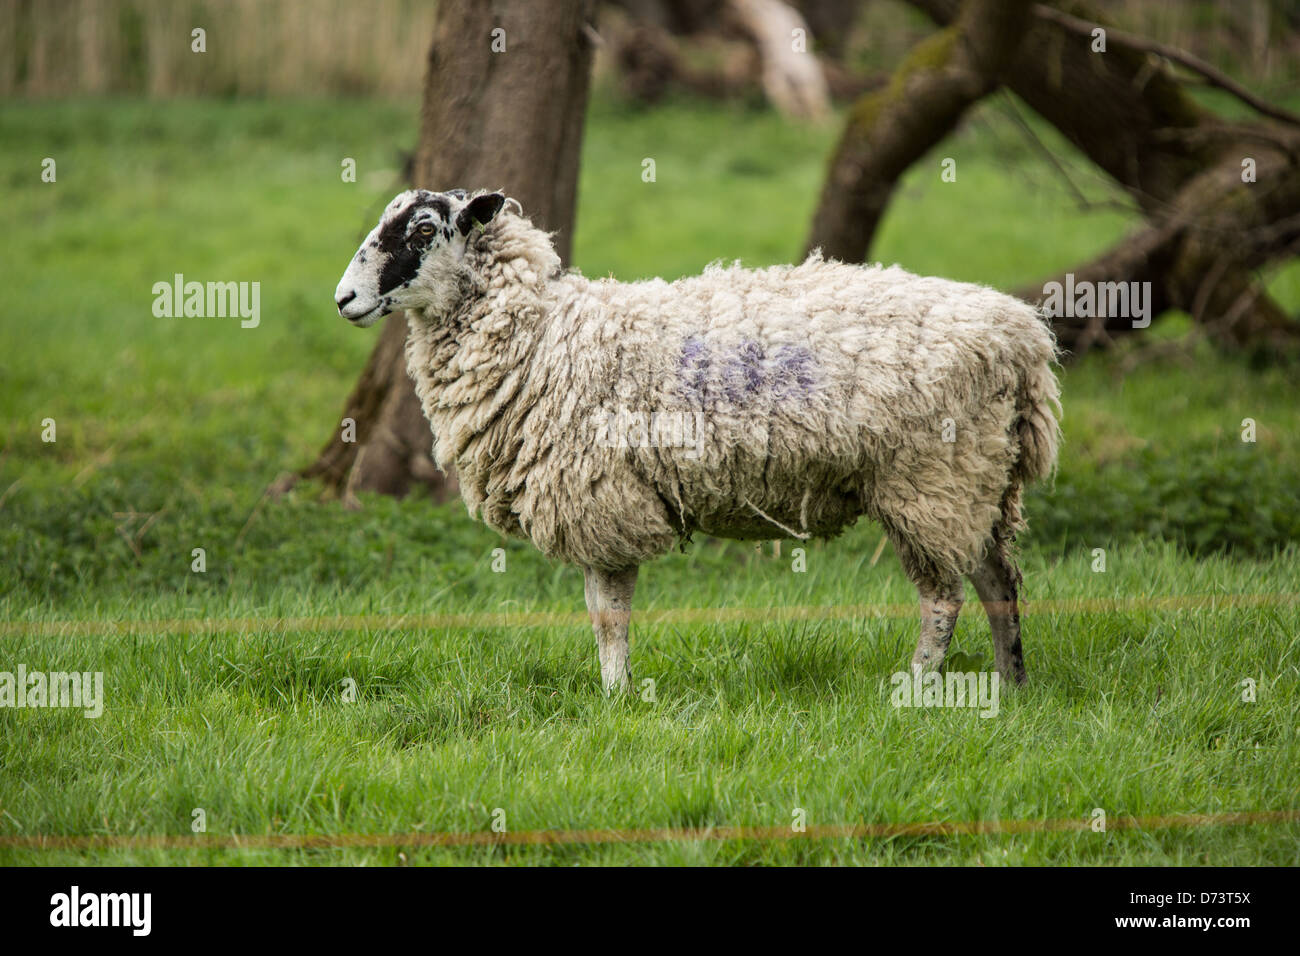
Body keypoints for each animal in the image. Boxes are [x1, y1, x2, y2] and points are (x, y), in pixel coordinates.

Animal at [334, 188, 1061, 694]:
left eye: (423, 229)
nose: (343, 299)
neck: (542, 337)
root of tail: (1023, 338)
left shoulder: (600, 498)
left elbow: (608, 614)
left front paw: (617, 698)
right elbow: (601, 613)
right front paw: (615, 694)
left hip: (930, 477)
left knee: (944, 596)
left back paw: (915, 687)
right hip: (979, 478)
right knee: (1000, 580)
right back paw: (1012, 684)